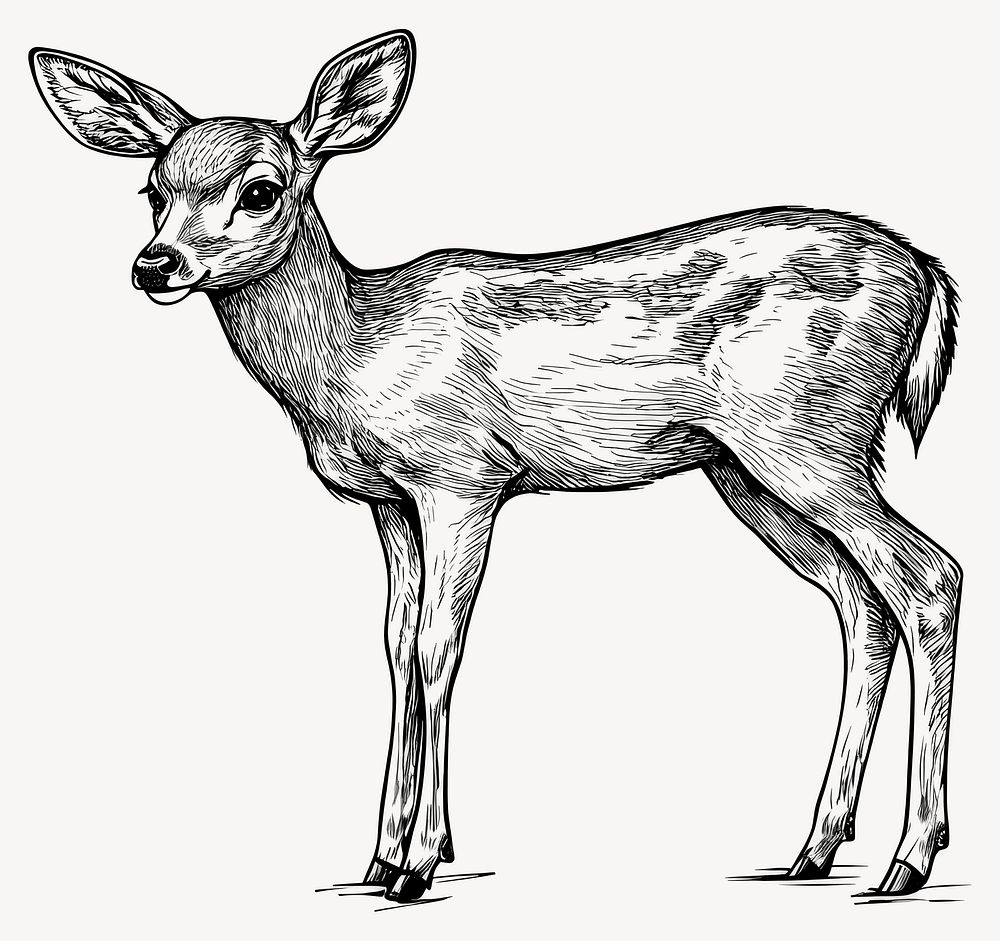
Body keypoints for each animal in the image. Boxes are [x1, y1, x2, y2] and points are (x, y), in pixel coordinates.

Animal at [29, 30, 961, 903]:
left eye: (261, 189)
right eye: (154, 190)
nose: (156, 264)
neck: (351, 354)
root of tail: (926, 274)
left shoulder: (463, 477)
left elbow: (439, 645)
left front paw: (417, 863)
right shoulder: (389, 500)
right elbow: (395, 643)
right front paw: (381, 852)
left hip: (809, 434)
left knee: (928, 576)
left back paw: (909, 857)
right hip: (748, 470)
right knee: (862, 603)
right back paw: (817, 846)